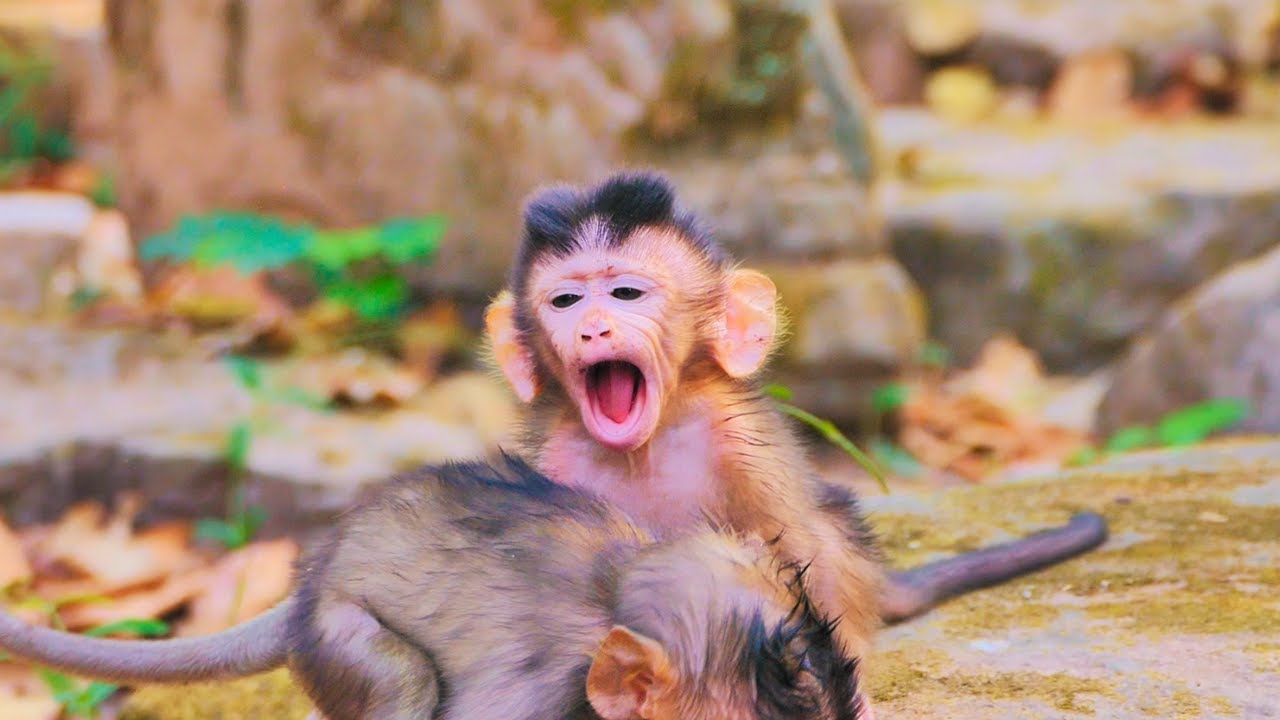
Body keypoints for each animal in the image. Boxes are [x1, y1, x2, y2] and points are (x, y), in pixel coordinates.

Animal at [483, 170, 1109, 666]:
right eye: (566, 302)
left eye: (626, 293)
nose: (593, 329)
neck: (648, 443)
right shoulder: (554, 464)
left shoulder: (742, 443)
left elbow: (798, 558)